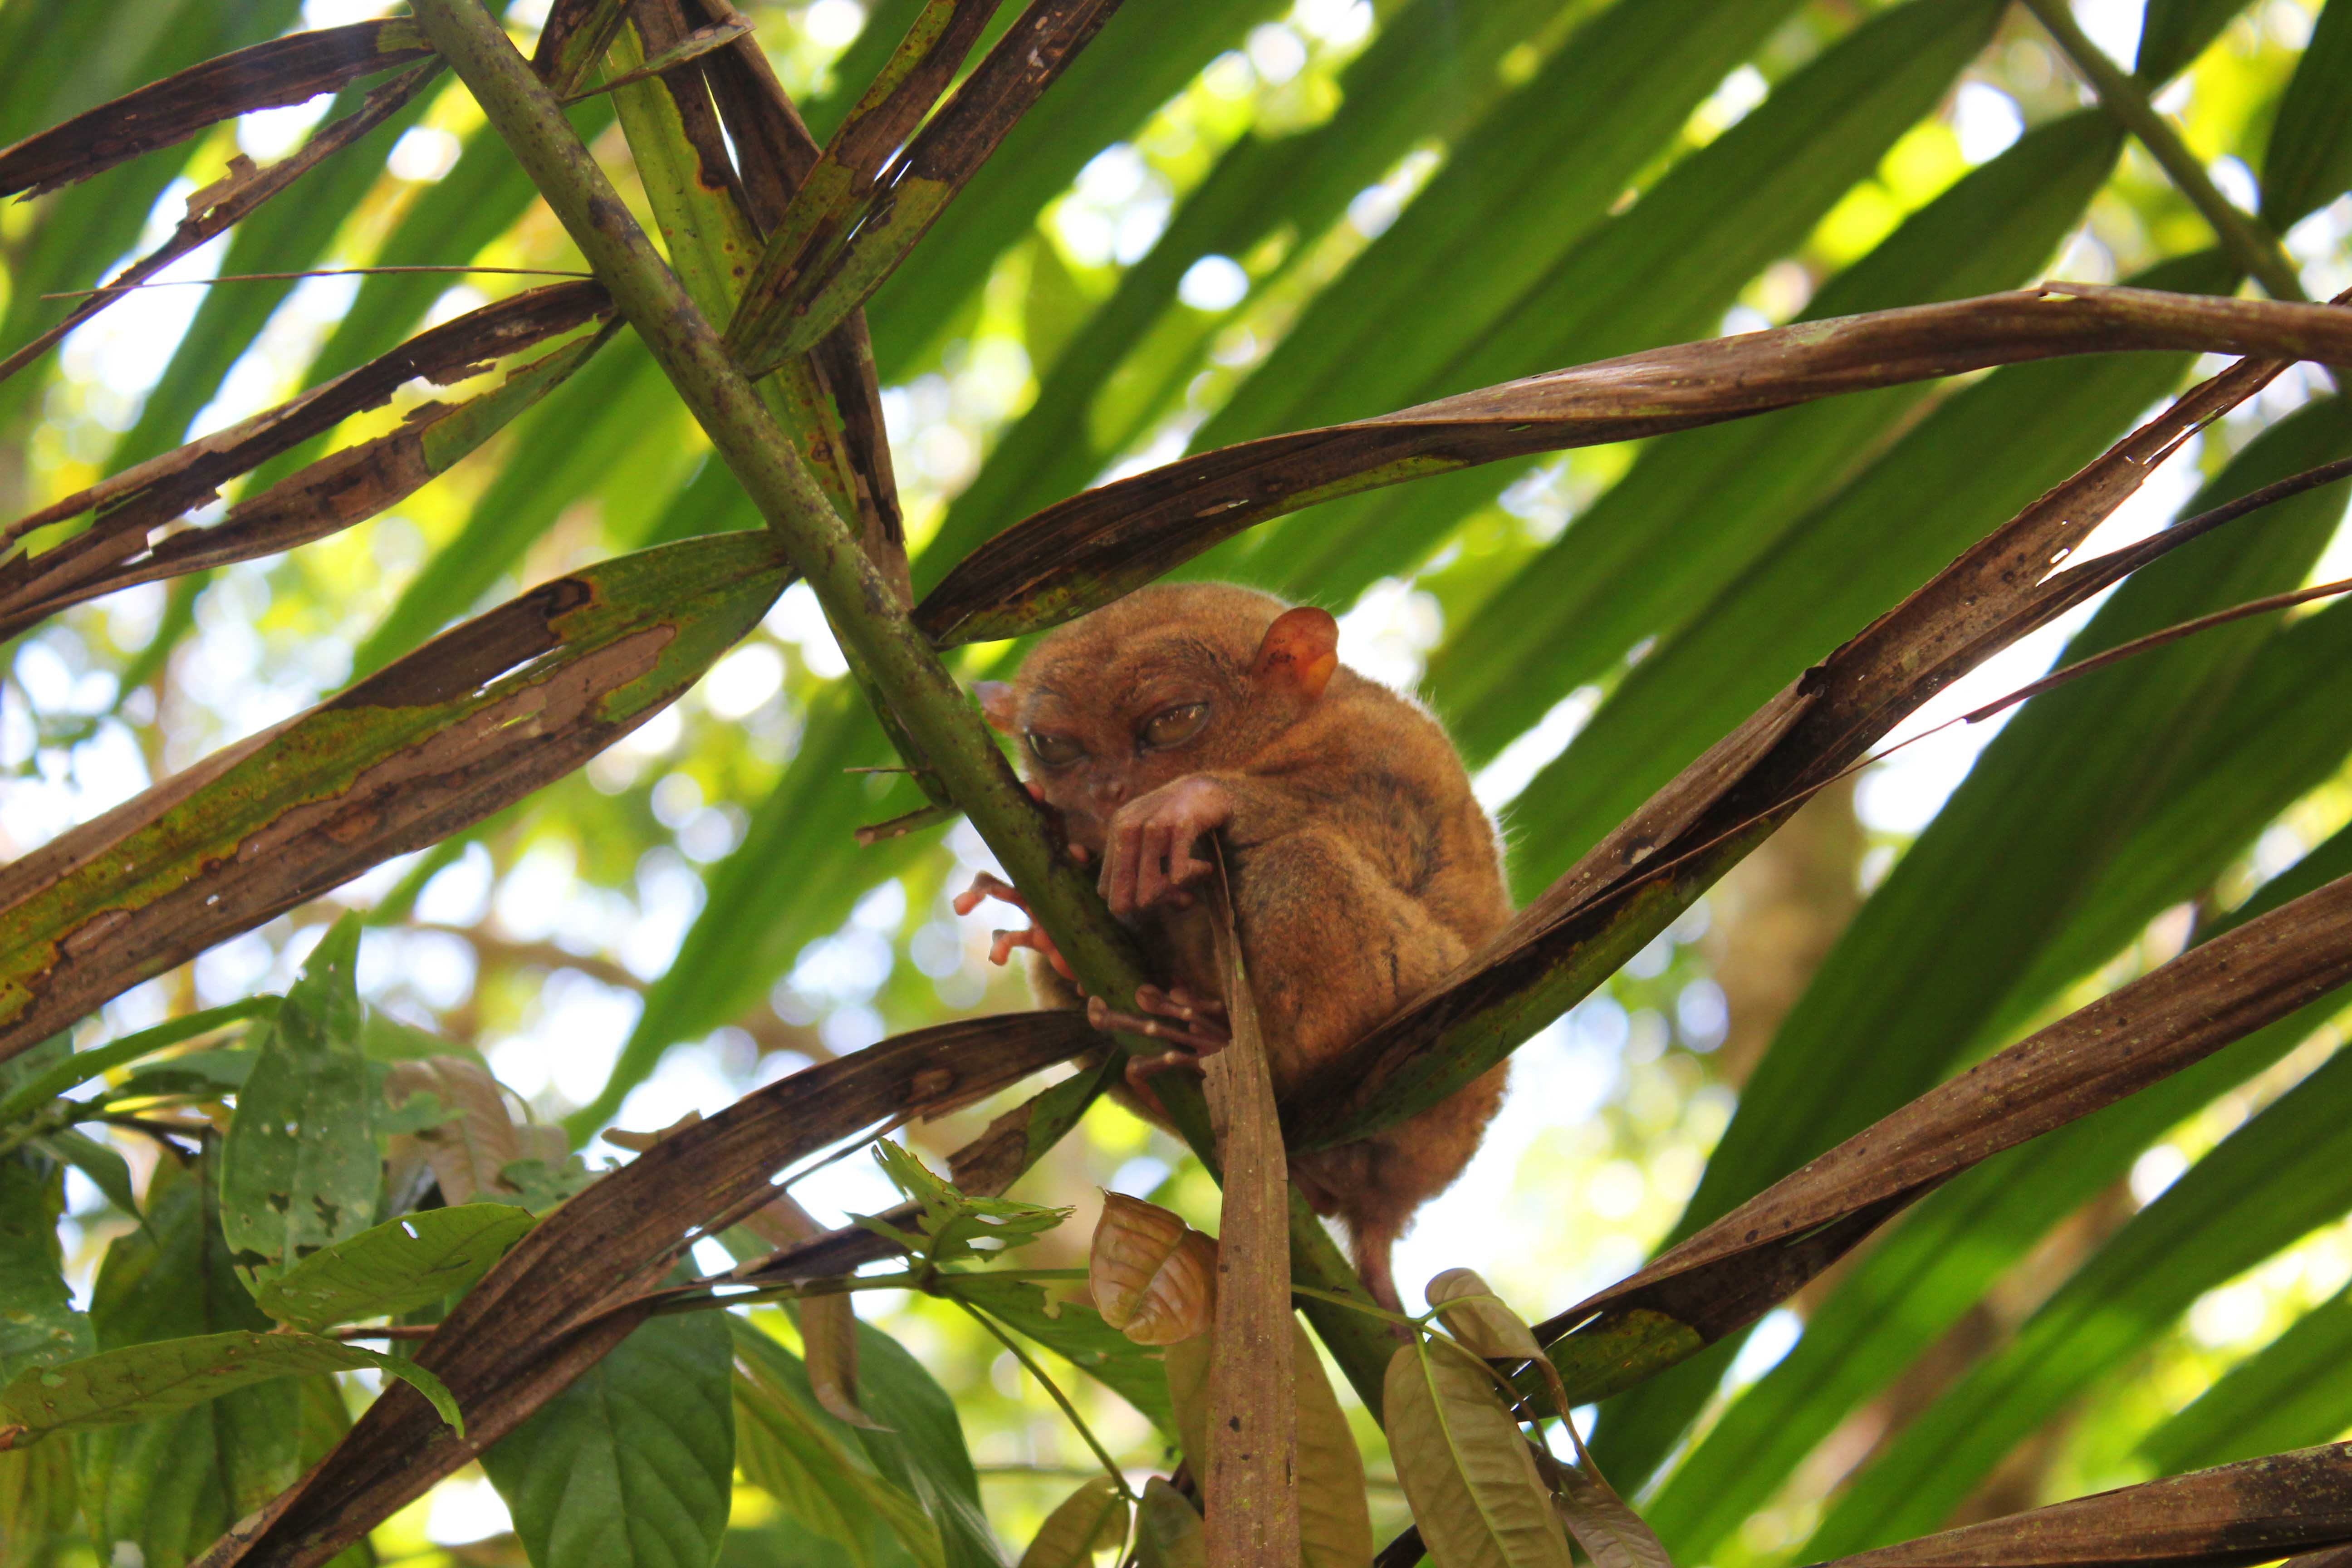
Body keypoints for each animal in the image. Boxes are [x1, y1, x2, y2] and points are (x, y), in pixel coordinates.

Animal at [953, 582, 1512, 1313]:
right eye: (1054, 746)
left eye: (1172, 722)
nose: (1105, 794)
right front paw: (1059, 907)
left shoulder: (1386, 744)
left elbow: (1370, 822)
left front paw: (1187, 803)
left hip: (1436, 1030)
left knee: (1299, 860)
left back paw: (1217, 1039)